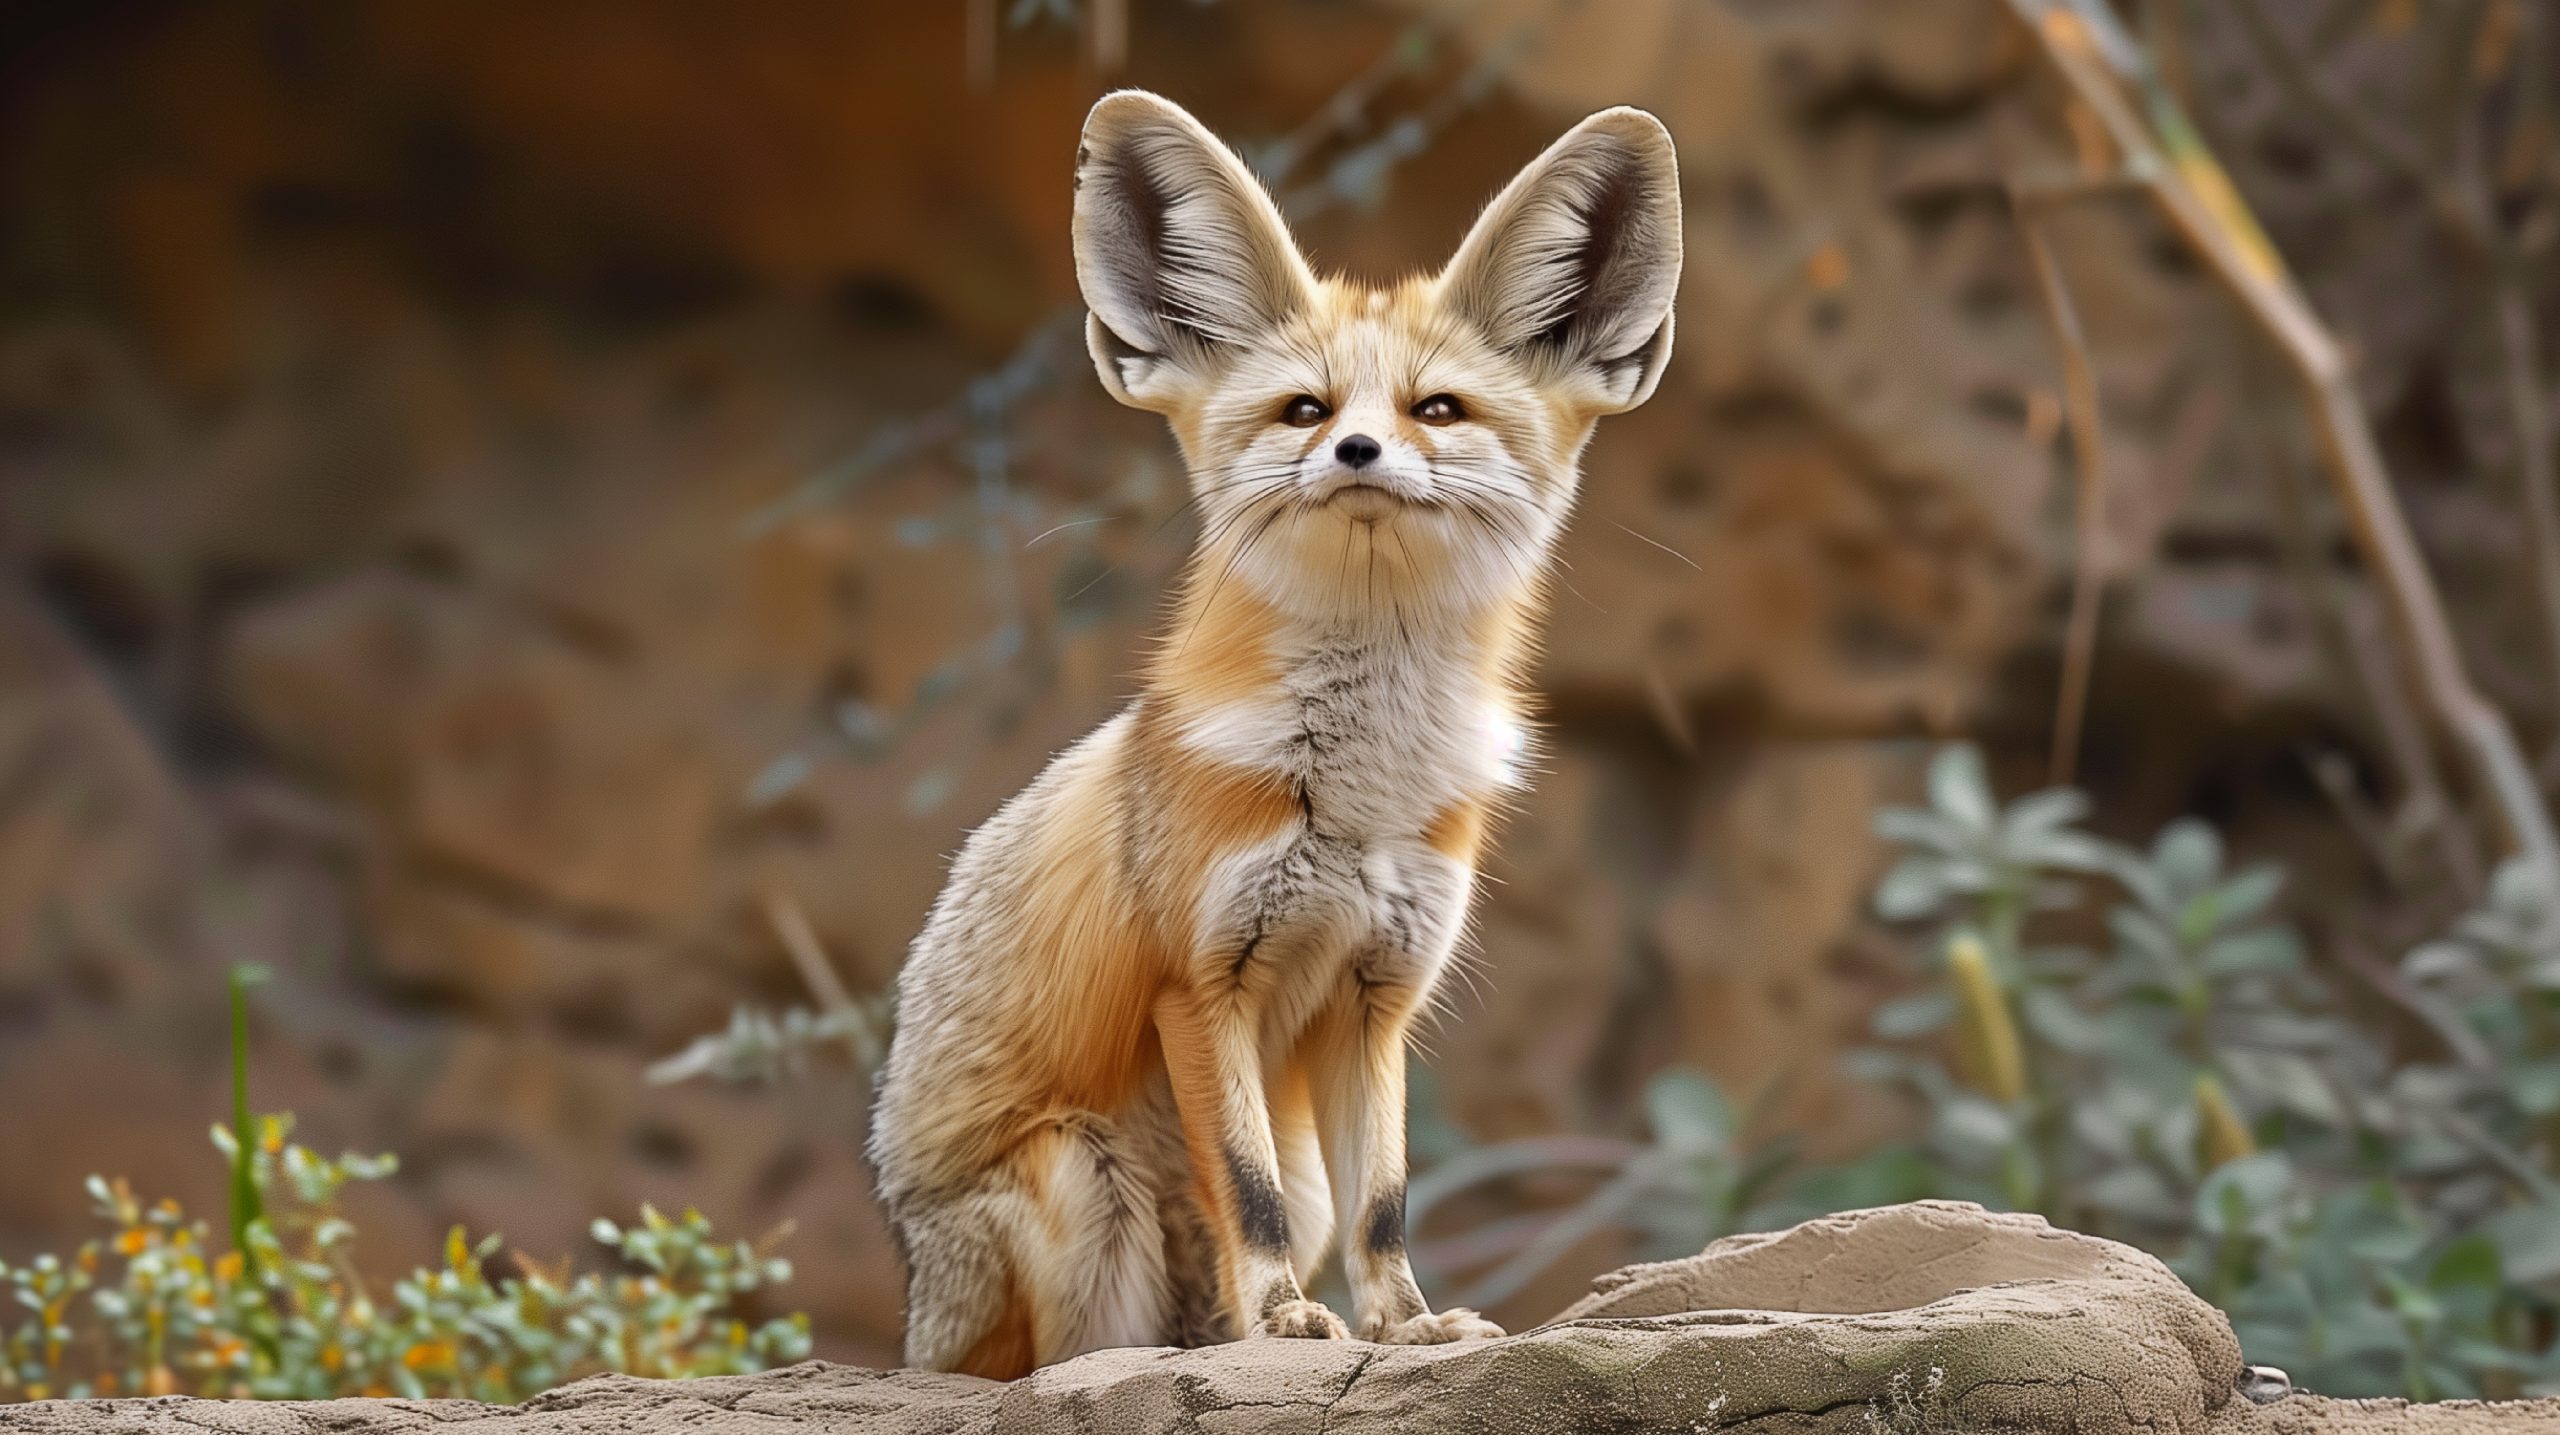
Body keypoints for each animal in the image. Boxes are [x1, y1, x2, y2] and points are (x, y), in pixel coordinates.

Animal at [867, 89, 1682, 1379]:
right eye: (1305, 410)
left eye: (1435, 410)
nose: (1355, 451)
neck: (1359, 794)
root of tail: (913, 1317)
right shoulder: (1200, 985)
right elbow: (1242, 1193)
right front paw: (1288, 1326)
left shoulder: (1379, 993)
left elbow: (1384, 1205)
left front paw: (1403, 1328)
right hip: (1079, 1174)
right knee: (1057, 1356)